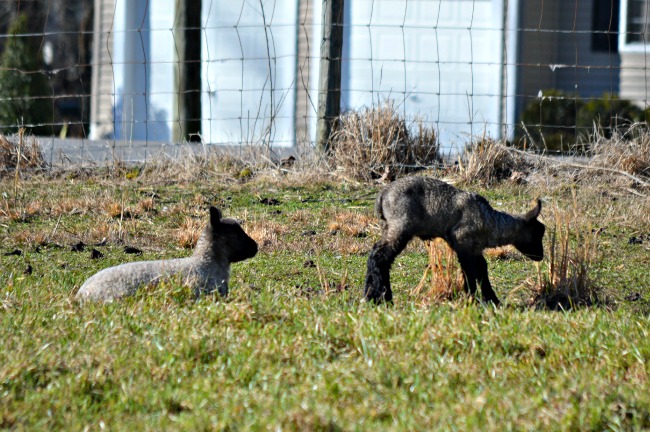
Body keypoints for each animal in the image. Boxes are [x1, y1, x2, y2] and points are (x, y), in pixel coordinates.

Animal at [364, 176, 545, 305]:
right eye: (539, 232)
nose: (541, 256)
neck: (491, 222)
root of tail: (382, 196)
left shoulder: (474, 248)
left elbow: (482, 269)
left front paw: (491, 299)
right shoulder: (463, 243)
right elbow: (469, 272)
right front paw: (472, 299)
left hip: (388, 227)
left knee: (376, 255)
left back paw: (371, 294)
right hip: (400, 226)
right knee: (380, 257)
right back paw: (380, 297)